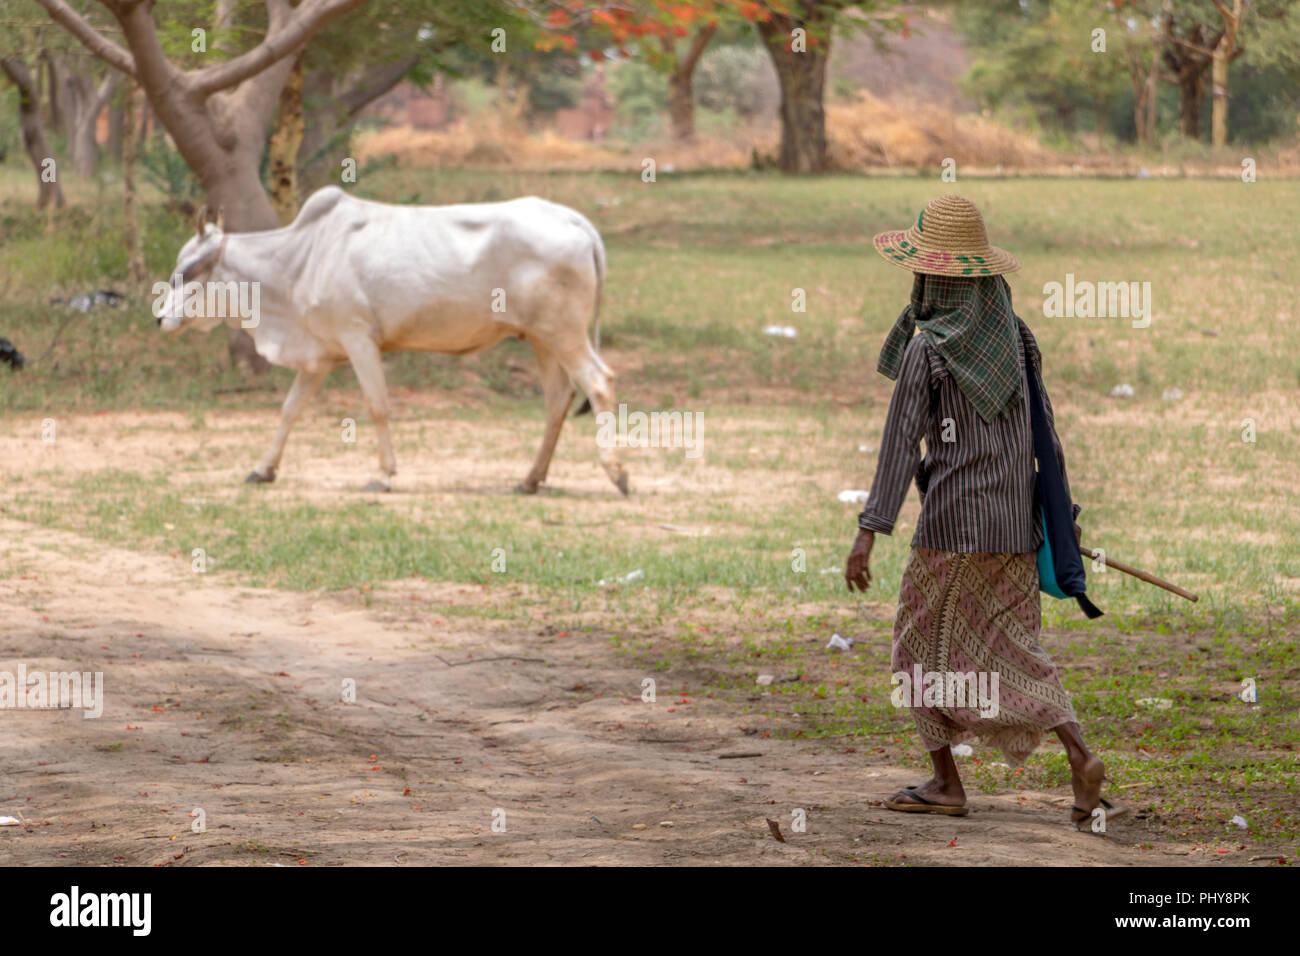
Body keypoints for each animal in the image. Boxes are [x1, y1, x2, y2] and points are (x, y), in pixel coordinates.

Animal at [156, 187, 627, 496]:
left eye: (185, 272)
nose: (160, 317)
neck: (300, 260)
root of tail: (573, 220)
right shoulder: (319, 358)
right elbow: (289, 411)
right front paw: (264, 468)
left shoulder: (358, 339)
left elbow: (377, 406)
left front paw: (383, 474)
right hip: (541, 338)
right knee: (558, 398)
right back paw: (530, 479)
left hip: (564, 333)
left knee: (599, 382)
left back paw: (617, 474)